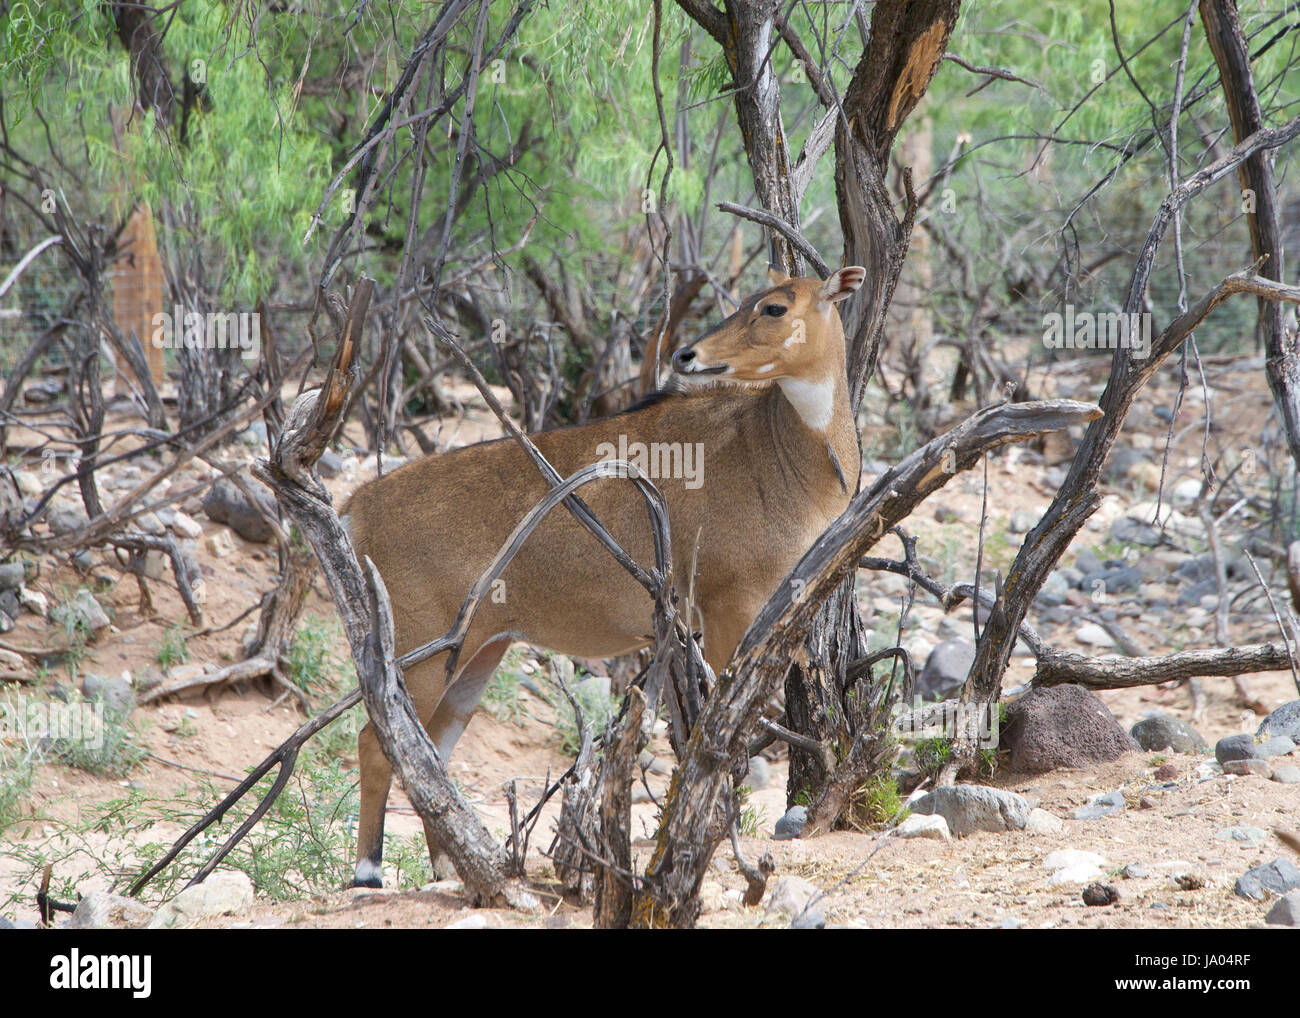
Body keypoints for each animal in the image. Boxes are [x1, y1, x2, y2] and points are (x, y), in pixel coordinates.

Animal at [343, 265, 866, 887]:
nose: (686, 355)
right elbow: (723, 731)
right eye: (754, 302)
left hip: (479, 650)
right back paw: (368, 872)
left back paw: (455, 867)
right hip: (420, 648)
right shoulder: (727, 606)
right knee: (379, 742)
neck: (786, 448)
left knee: (433, 752)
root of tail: (358, 505)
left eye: (774, 307)